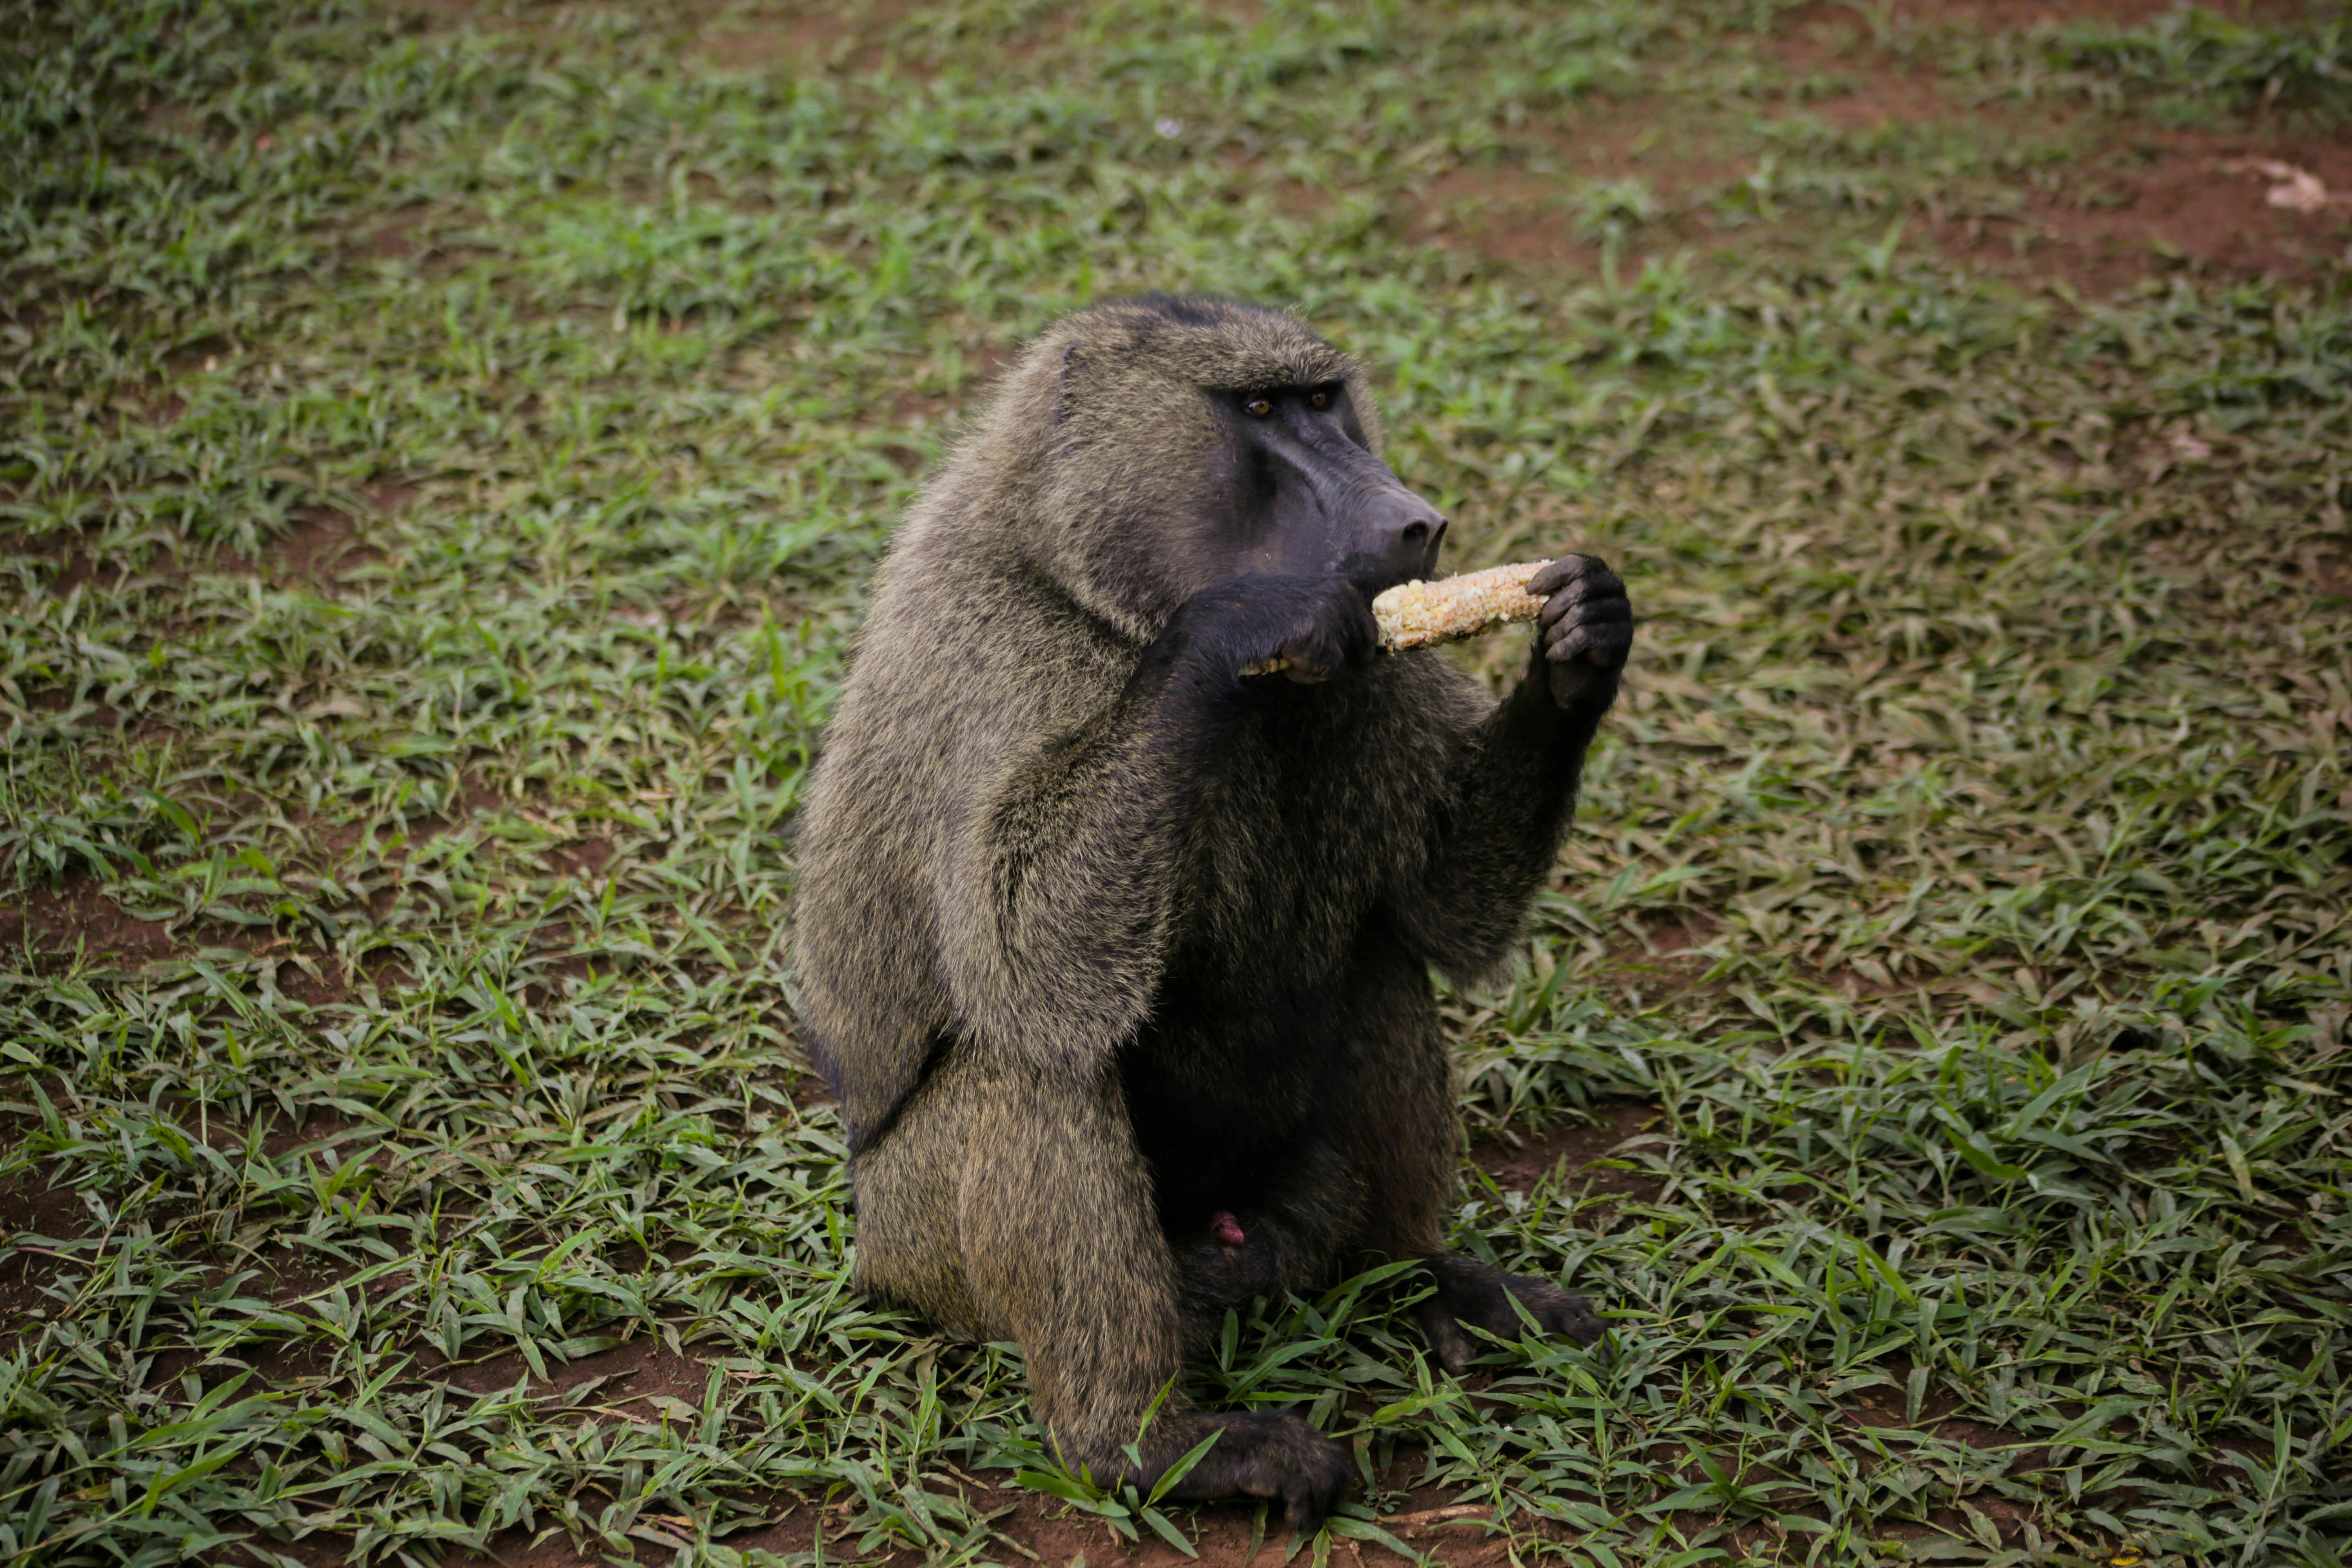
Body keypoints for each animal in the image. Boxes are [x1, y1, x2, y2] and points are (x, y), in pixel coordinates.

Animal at [792, 296, 1634, 1530]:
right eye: (1261, 409)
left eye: (1325, 400)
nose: (1413, 524)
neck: (1094, 591)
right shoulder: (999, 660)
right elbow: (1022, 964)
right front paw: (1238, 625)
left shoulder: (1371, 646)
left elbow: (1443, 905)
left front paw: (1580, 635)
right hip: (919, 1247)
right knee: (1030, 1064)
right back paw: (1147, 1446)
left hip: (1289, 1201)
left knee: (1373, 966)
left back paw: (1416, 1275)